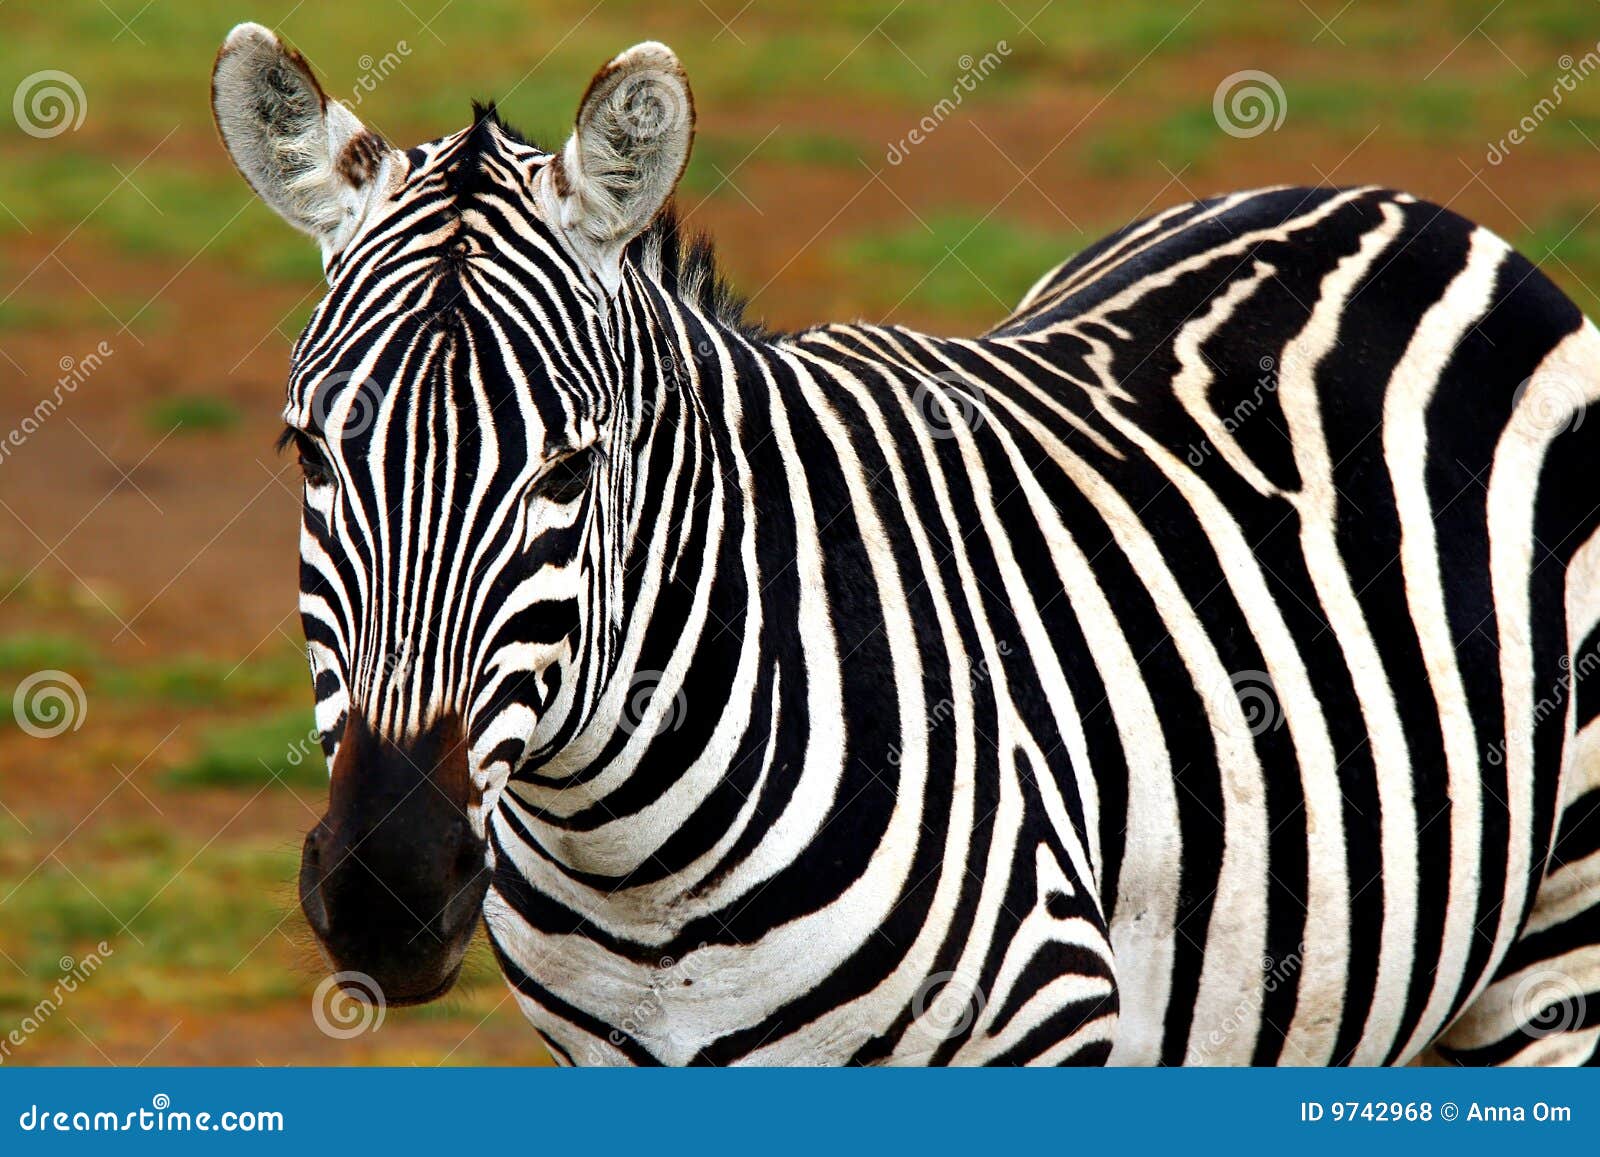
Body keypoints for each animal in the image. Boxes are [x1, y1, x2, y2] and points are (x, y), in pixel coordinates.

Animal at [212, 22, 1600, 1065]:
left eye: (567, 469)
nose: (386, 890)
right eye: (309, 456)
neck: (637, 870)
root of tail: (1399, 205)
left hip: (1556, 947)